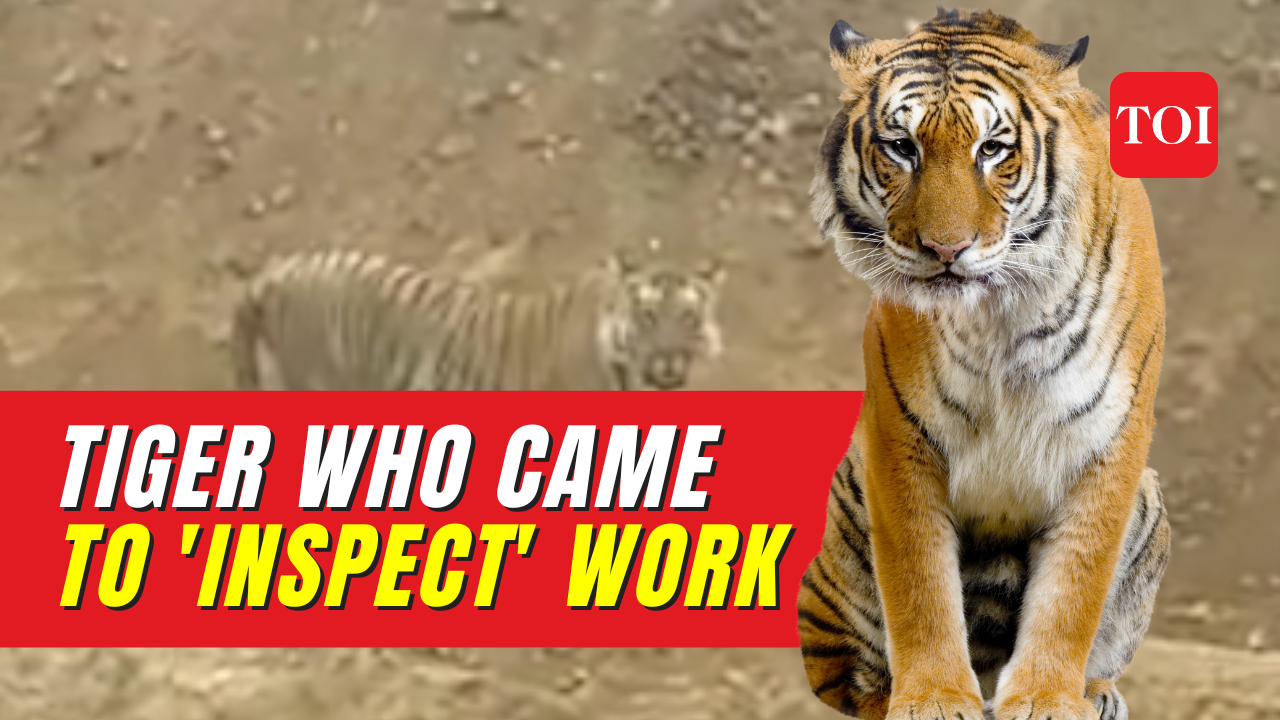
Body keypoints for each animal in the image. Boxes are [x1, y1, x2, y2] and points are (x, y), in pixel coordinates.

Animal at [797, 9, 1169, 720]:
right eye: (902, 147)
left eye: (992, 149)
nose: (946, 249)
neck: (1001, 313)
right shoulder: (900, 438)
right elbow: (918, 585)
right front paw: (934, 698)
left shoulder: (1108, 441)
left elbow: (1073, 591)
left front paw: (1047, 699)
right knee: (850, 679)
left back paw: (1097, 694)